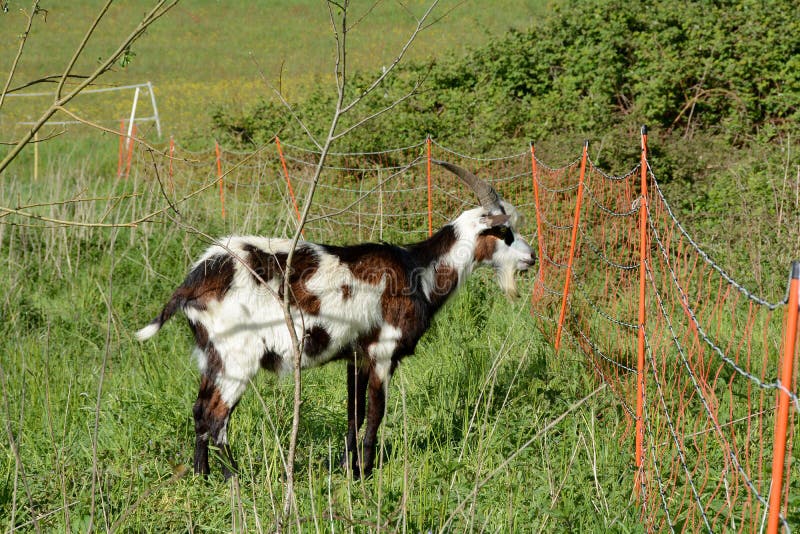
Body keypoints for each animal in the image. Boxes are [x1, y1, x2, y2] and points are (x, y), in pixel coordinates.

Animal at [135, 161, 536, 479]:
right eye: (505, 232)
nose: (530, 257)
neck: (417, 270)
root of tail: (195, 278)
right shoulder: (382, 352)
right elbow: (375, 414)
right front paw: (365, 474)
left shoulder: (355, 356)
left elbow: (353, 415)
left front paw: (348, 469)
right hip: (238, 357)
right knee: (216, 418)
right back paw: (236, 479)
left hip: (211, 355)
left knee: (199, 411)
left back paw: (201, 478)